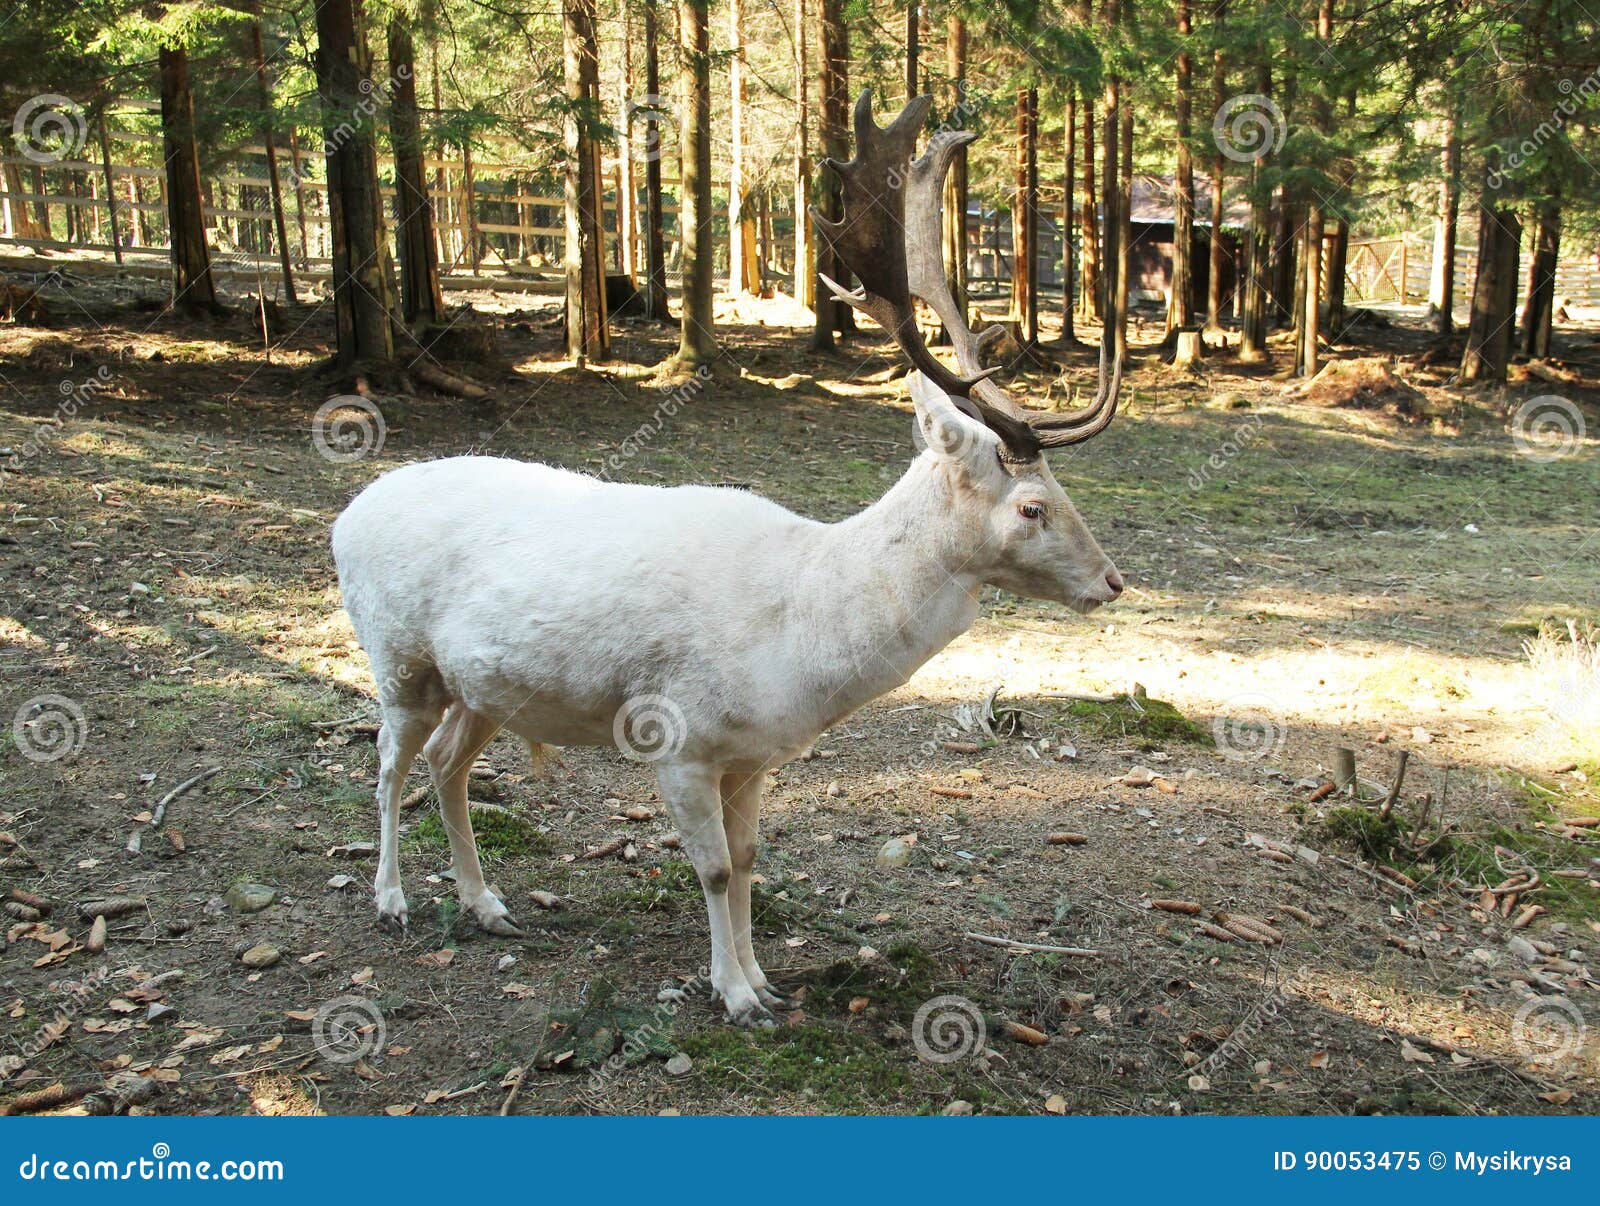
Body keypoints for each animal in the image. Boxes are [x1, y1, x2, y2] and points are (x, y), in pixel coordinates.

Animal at [330, 92, 1125, 1028]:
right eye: (1032, 506)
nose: (1112, 581)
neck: (798, 643)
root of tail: (347, 516)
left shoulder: (752, 757)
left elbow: (747, 863)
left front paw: (765, 979)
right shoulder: (676, 740)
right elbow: (710, 868)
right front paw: (734, 996)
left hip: (485, 686)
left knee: (448, 766)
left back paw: (486, 905)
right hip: (399, 659)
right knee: (388, 765)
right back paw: (391, 901)